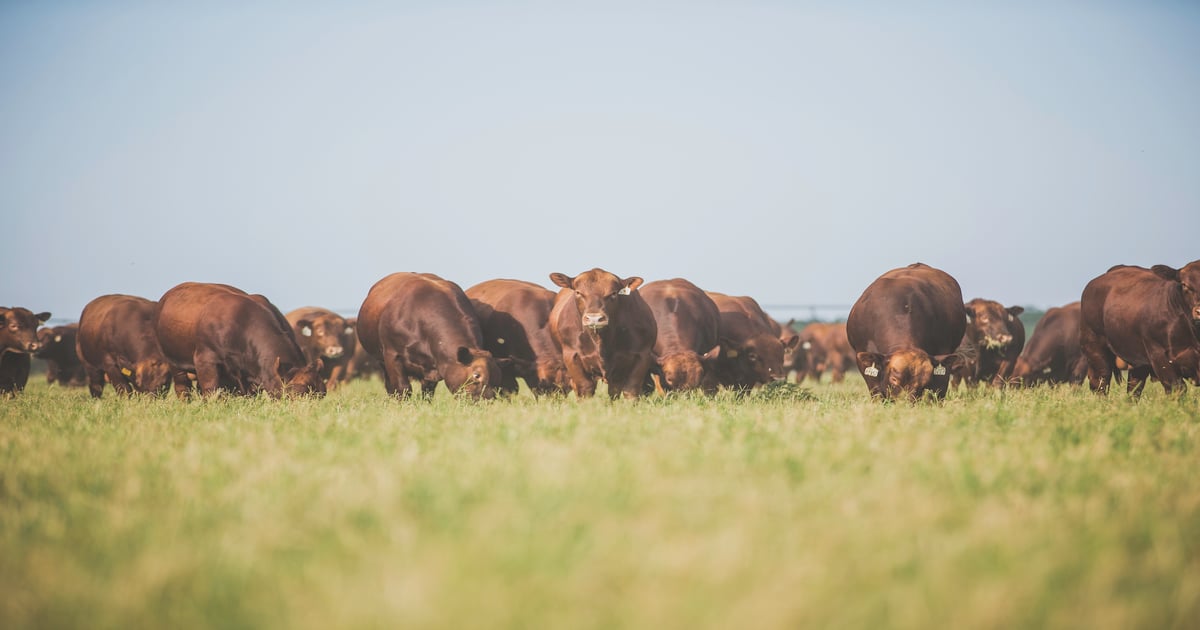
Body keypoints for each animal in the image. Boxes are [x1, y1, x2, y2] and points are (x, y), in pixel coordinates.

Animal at [155, 282, 325, 398]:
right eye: (297, 393)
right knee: (182, 388)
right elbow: (211, 392)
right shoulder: (205, 361)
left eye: (322, 394)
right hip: (173, 361)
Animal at [357, 272, 502, 399]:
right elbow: (402, 389)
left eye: (497, 378)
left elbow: (427, 391)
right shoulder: (392, 356)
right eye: (476, 375)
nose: (488, 400)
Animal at [548, 268, 657, 399]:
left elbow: (631, 389)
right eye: (578, 293)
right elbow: (585, 388)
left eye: (613, 293)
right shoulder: (571, 356)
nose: (594, 318)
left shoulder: (643, 355)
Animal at [1079, 262, 1200, 396]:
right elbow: (1176, 389)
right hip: (1095, 349)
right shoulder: (1160, 357)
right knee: (1101, 382)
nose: (1198, 311)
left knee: (1134, 388)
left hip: (1137, 361)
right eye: (1184, 284)